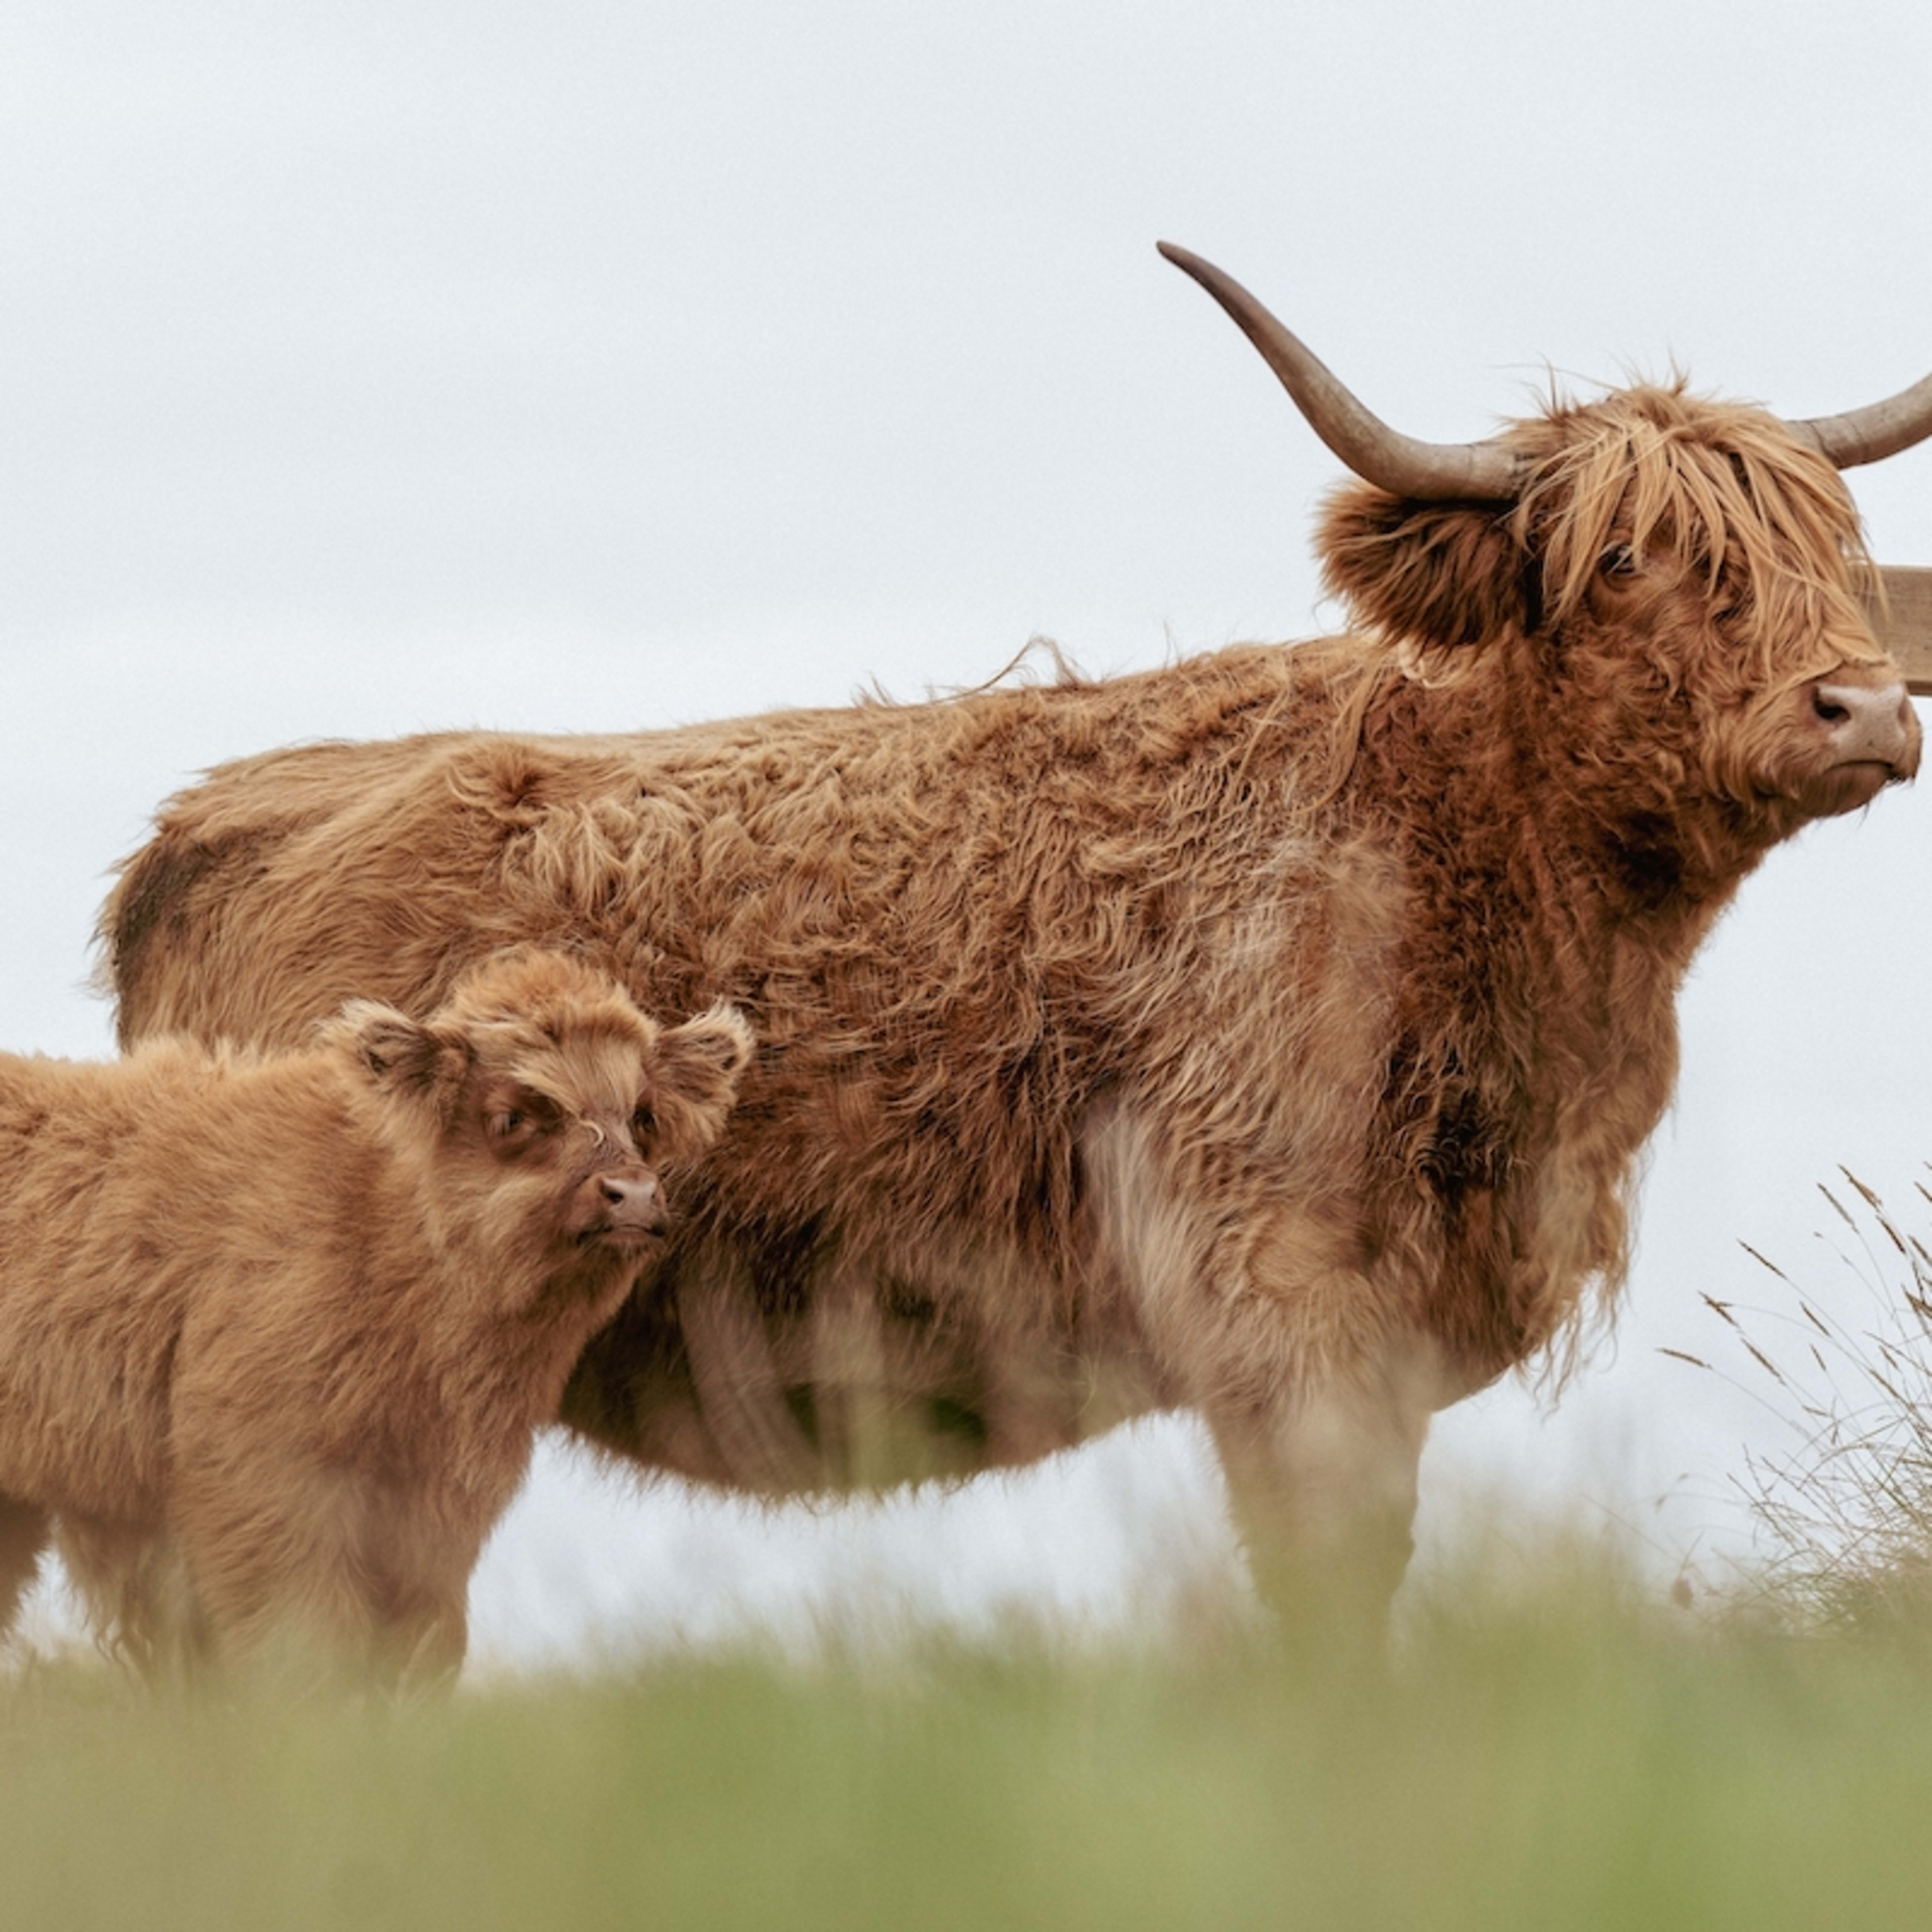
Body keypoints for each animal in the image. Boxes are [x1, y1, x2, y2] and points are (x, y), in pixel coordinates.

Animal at [0, 949, 752, 1685]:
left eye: (643, 1116)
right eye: (513, 1117)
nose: (633, 1196)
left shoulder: (437, 1513)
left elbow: (417, 1653)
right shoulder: (264, 1484)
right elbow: (308, 1649)